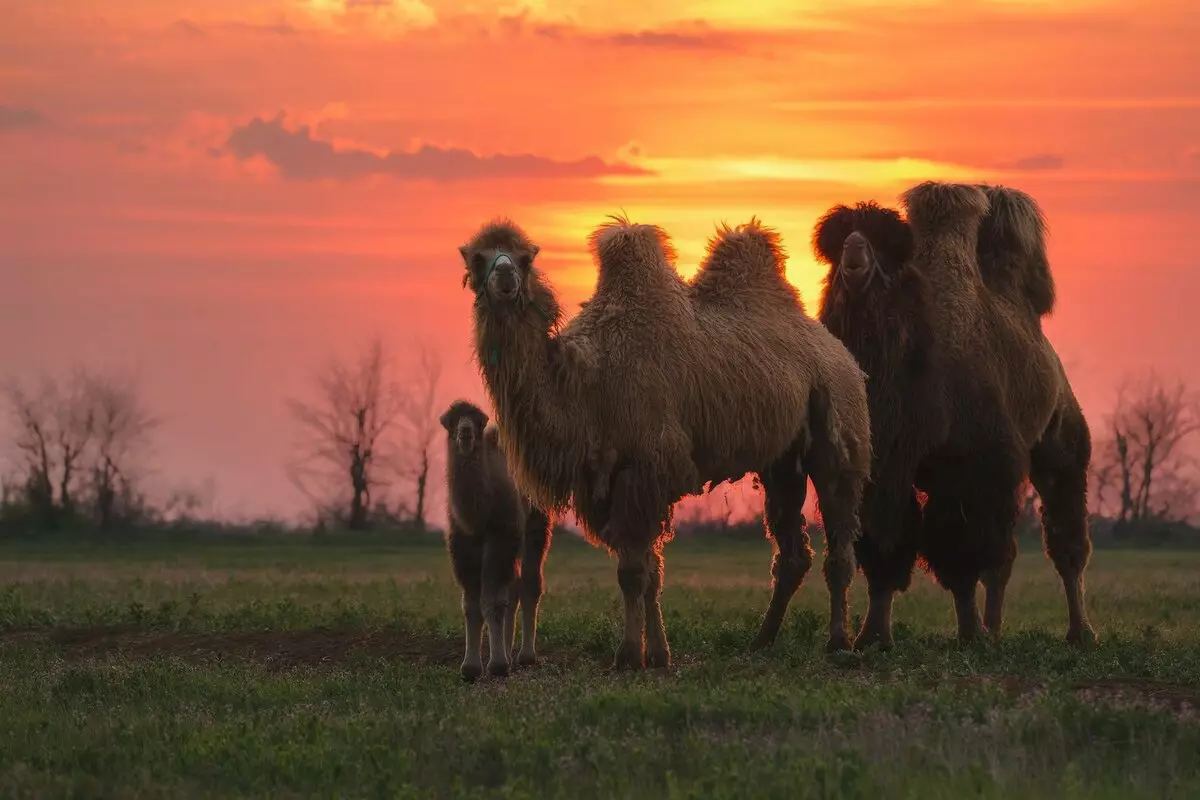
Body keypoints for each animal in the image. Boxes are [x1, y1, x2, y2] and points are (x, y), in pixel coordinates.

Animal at [441, 400, 552, 681]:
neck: (479, 513)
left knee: (529, 583)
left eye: (479, 420)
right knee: (513, 587)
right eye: (450, 421)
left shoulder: (501, 535)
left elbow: (492, 601)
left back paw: (525, 656)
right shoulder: (463, 546)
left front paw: (498, 665)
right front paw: (470, 667)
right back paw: (511, 652)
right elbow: (471, 605)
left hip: (537, 521)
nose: (465, 432)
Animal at [458, 214, 873, 671]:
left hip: (839, 423)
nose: (505, 277)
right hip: (782, 460)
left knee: (839, 536)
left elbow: (633, 573)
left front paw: (627, 656)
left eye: (524, 258)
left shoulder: (646, 468)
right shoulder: (608, 480)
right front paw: (657, 655)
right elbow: (650, 571)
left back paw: (838, 641)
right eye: (477, 258)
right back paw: (762, 640)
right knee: (793, 550)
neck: (586, 382)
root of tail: (842, 352)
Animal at [816, 178, 1099, 647]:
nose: (854, 253)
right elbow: (885, 544)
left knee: (1064, 536)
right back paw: (996, 629)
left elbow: (960, 553)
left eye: (884, 249)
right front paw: (872, 636)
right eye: (836, 246)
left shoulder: (968, 465)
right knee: (1006, 557)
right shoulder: (886, 467)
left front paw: (968, 633)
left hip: (1060, 437)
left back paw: (1079, 632)